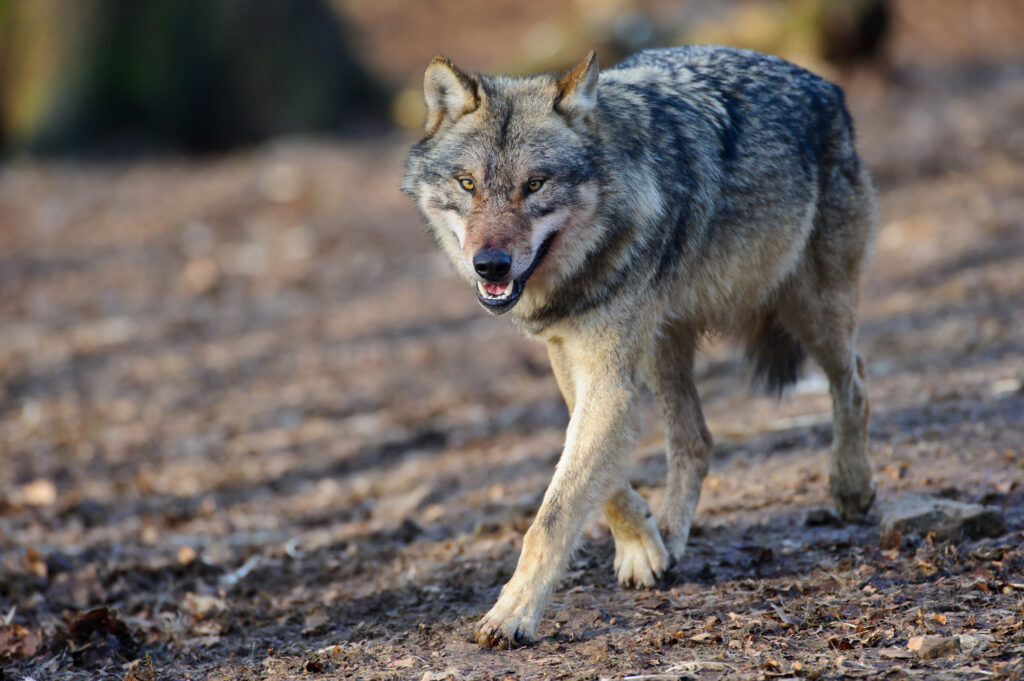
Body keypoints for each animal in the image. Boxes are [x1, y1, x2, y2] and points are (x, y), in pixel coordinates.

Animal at [401, 45, 877, 649]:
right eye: (467, 184)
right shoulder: (571, 359)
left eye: (534, 185)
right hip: (662, 348)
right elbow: (597, 482)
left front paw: (512, 614)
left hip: (813, 314)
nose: (490, 266)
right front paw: (642, 545)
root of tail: (825, 85)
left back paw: (851, 487)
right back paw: (671, 536)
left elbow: (553, 515)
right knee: (697, 439)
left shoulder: (608, 373)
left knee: (853, 380)